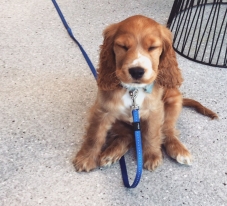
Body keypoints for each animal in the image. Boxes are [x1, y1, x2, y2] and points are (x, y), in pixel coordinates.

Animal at [72, 14, 216, 172]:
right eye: (123, 46)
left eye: (152, 47)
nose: (137, 71)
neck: (133, 91)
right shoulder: (102, 109)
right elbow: (95, 135)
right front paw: (86, 158)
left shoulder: (155, 111)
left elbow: (152, 134)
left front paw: (152, 155)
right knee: (128, 135)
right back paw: (111, 153)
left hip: (174, 100)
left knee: (168, 130)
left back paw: (179, 150)